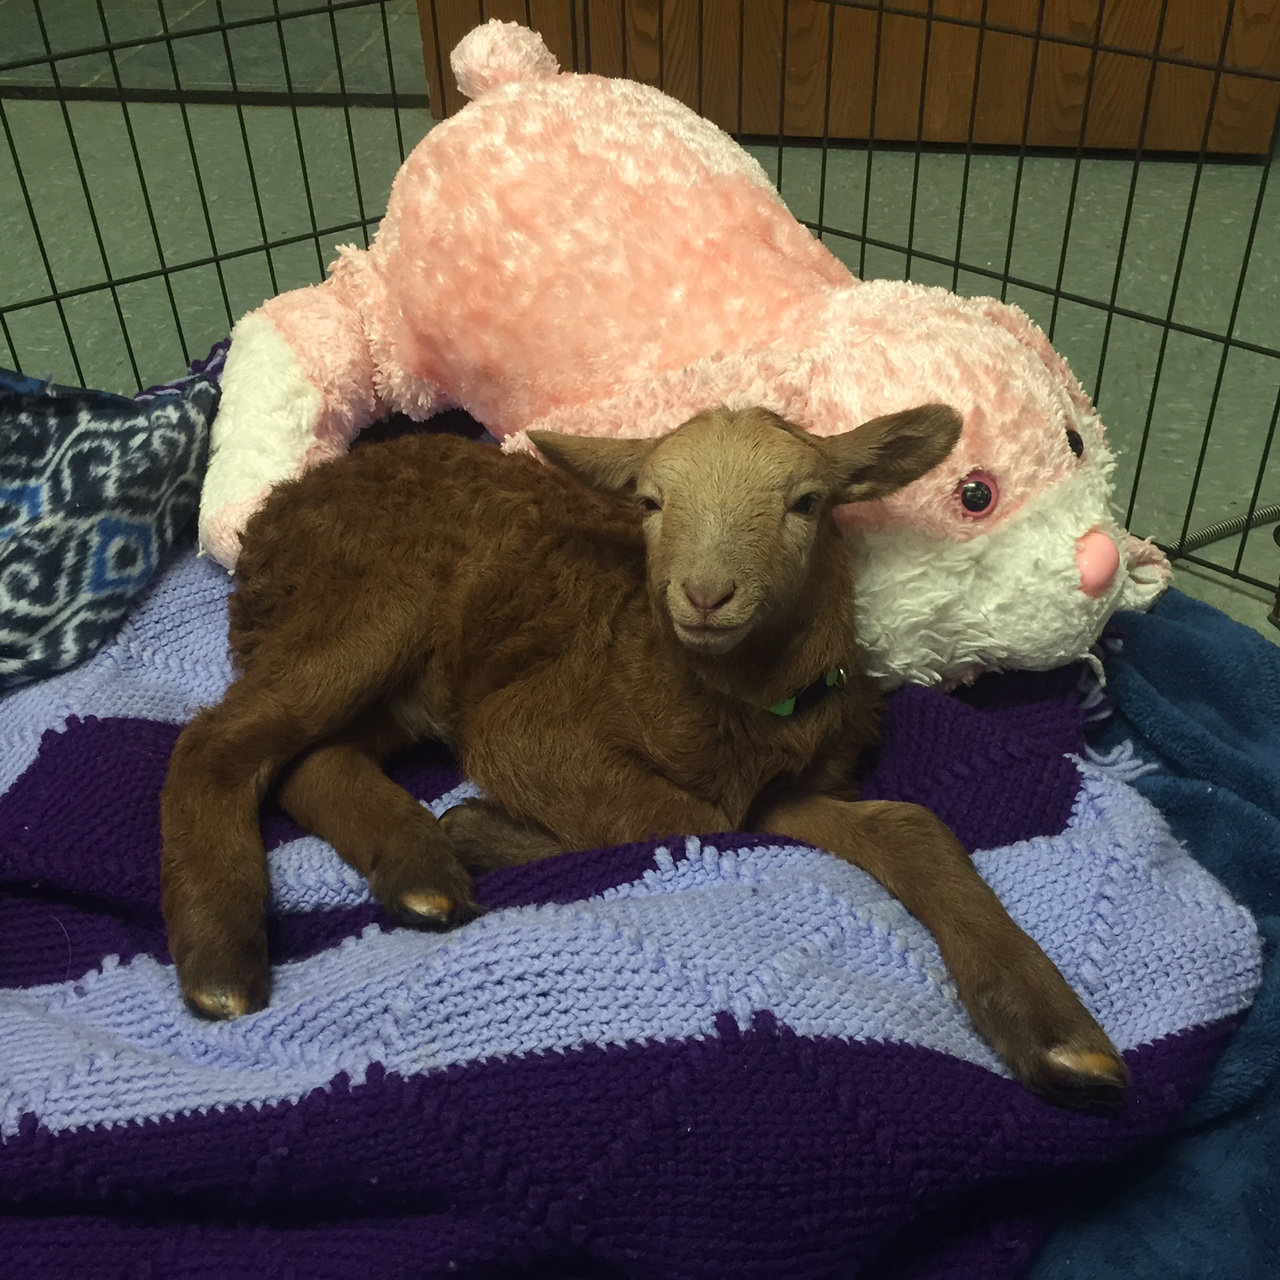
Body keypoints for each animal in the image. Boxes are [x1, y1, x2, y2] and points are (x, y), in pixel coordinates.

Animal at [160, 403, 1128, 1111]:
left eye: (806, 503)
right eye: (653, 503)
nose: (704, 594)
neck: (733, 703)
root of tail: (279, 505)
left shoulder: (798, 786)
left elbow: (908, 825)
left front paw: (1059, 1035)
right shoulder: (525, 725)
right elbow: (686, 815)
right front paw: (487, 827)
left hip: (405, 682)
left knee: (306, 760)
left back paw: (417, 867)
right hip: (366, 606)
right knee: (216, 741)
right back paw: (224, 960)